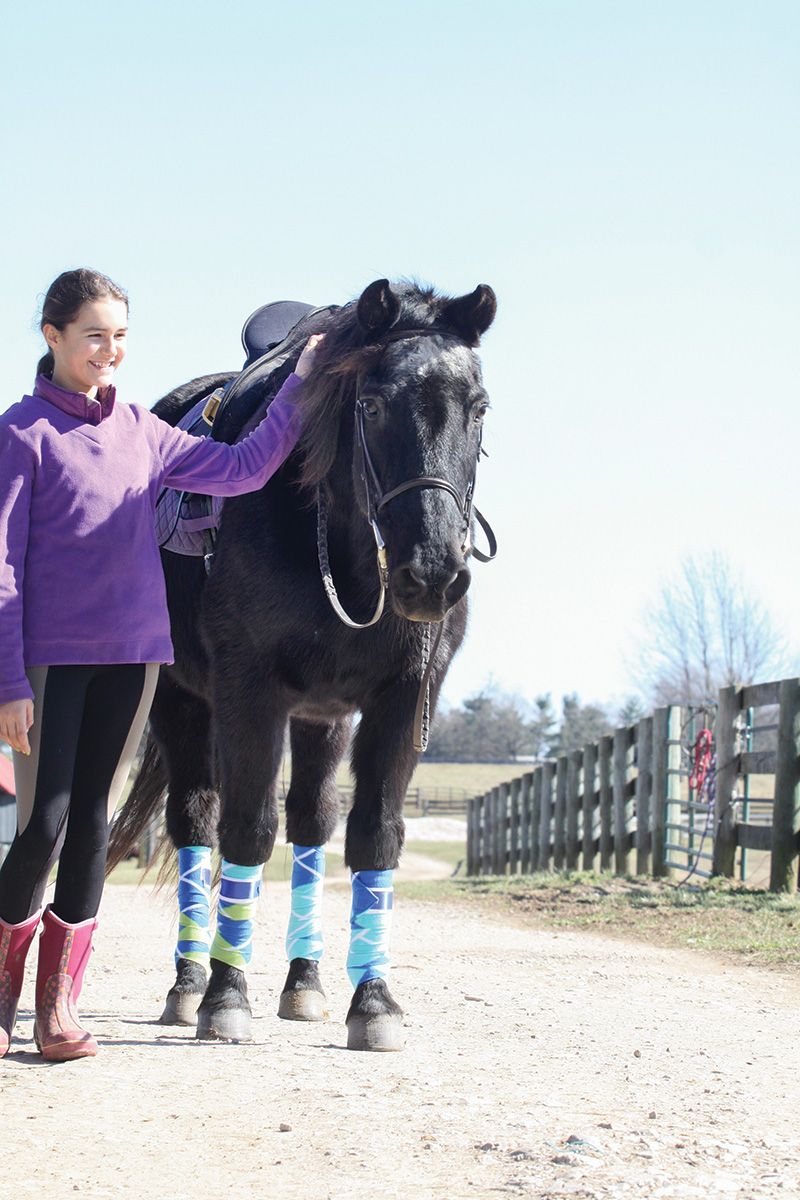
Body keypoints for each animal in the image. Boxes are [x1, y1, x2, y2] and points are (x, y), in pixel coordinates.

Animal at [107, 278, 497, 1051]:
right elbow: (248, 830)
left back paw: (305, 983)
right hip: (183, 705)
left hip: (324, 718)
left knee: (313, 822)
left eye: (478, 407)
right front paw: (225, 997)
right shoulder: (248, 691)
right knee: (196, 822)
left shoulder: (405, 696)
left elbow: (374, 836)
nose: (434, 572)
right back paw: (189, 985)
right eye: (371, 405)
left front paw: (372, 1002)